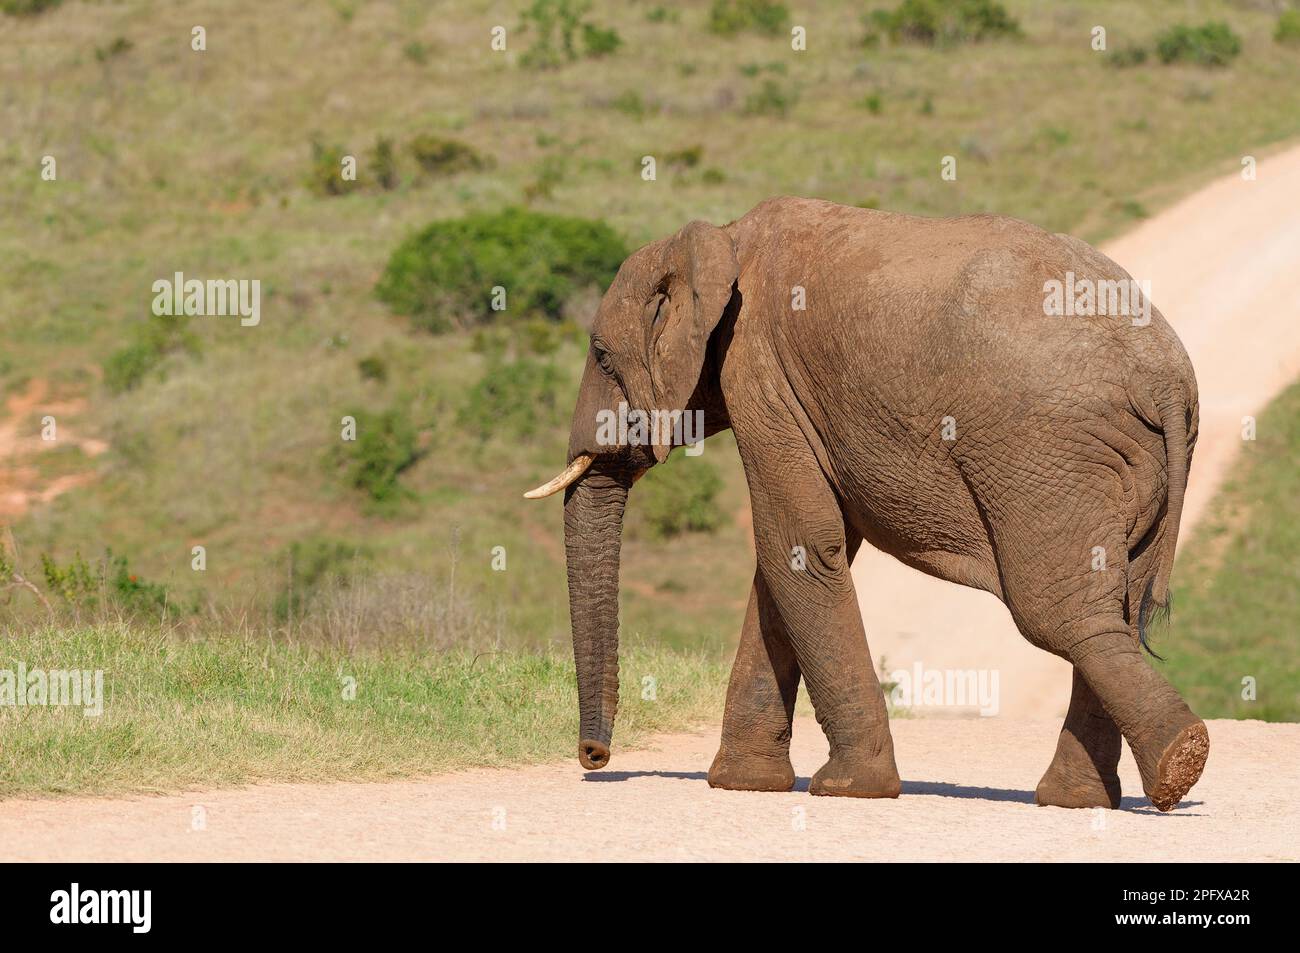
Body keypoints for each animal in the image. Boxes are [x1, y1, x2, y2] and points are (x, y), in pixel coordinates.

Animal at [525, 196, 1208, 813]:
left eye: (601, 356)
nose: (594, 758)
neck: (720, 237)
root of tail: (1166, 378)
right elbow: (789, 561)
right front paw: (742, 784)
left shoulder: (760, 369)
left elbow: (798, 543)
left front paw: (847, 789)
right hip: (1130, 465)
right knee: (1119, 609)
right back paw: (1083, 798)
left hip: (1045, 452)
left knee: (1061, 614)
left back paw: (1177, 763)